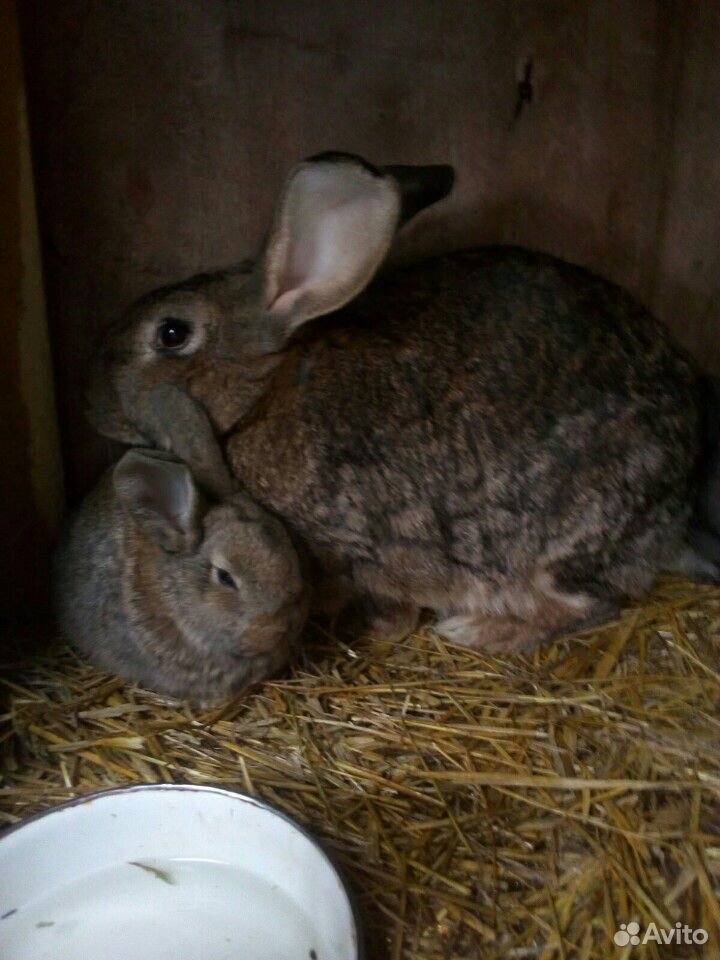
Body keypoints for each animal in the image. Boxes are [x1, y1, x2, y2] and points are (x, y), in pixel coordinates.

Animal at [84, 151, 716, 654]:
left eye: (171, 334)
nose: (94, 401)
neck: (265, 393)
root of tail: (677, 508)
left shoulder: (362, 551)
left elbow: (390, 606)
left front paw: (366, 630)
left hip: (559, 543)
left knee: (593, 602)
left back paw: (482, 631)